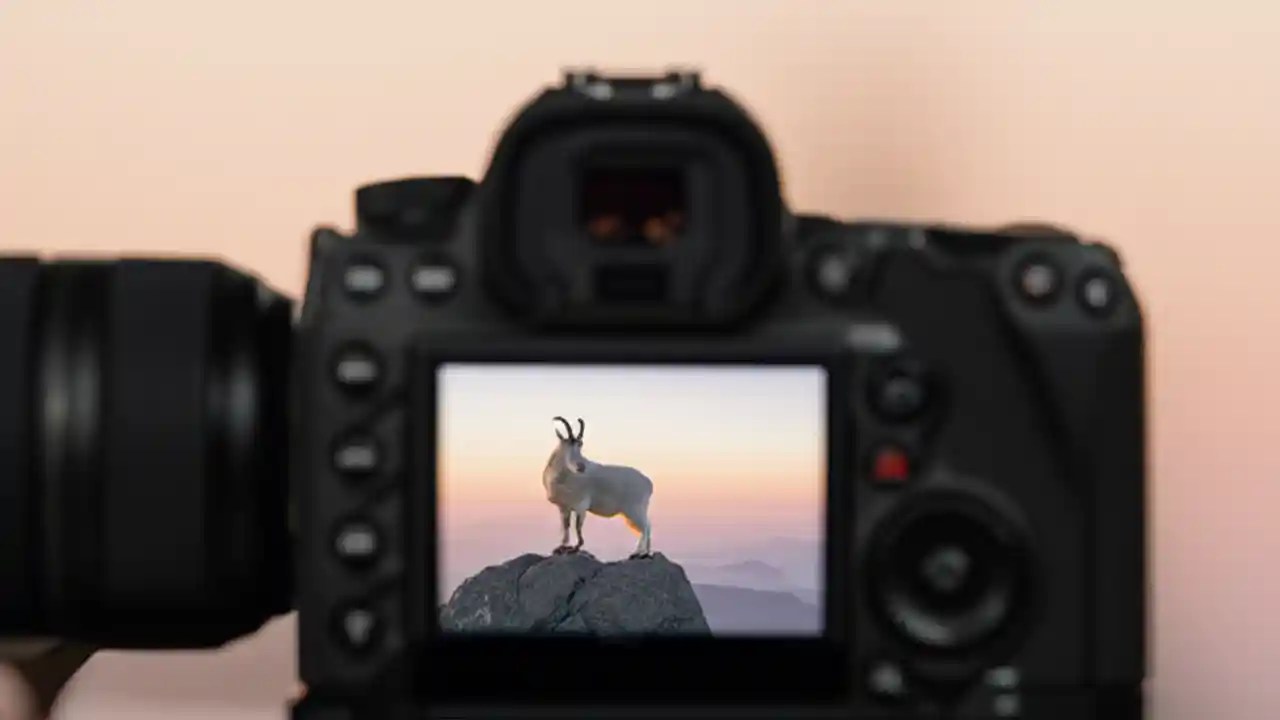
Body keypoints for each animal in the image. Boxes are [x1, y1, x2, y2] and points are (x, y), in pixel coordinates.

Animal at [542, 416, 654, 559]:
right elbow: (566, 526)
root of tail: (648, 483)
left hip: (634, 509)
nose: (581, 467)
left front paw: (575, 548)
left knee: (645, 527)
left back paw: (639, 553)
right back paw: (645, 553)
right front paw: (562, 547)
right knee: (647, 526)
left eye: (580, 445)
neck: (564, 478)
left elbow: (578, 527)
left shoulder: (581, 506)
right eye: (567, 445)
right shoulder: (564, 508)